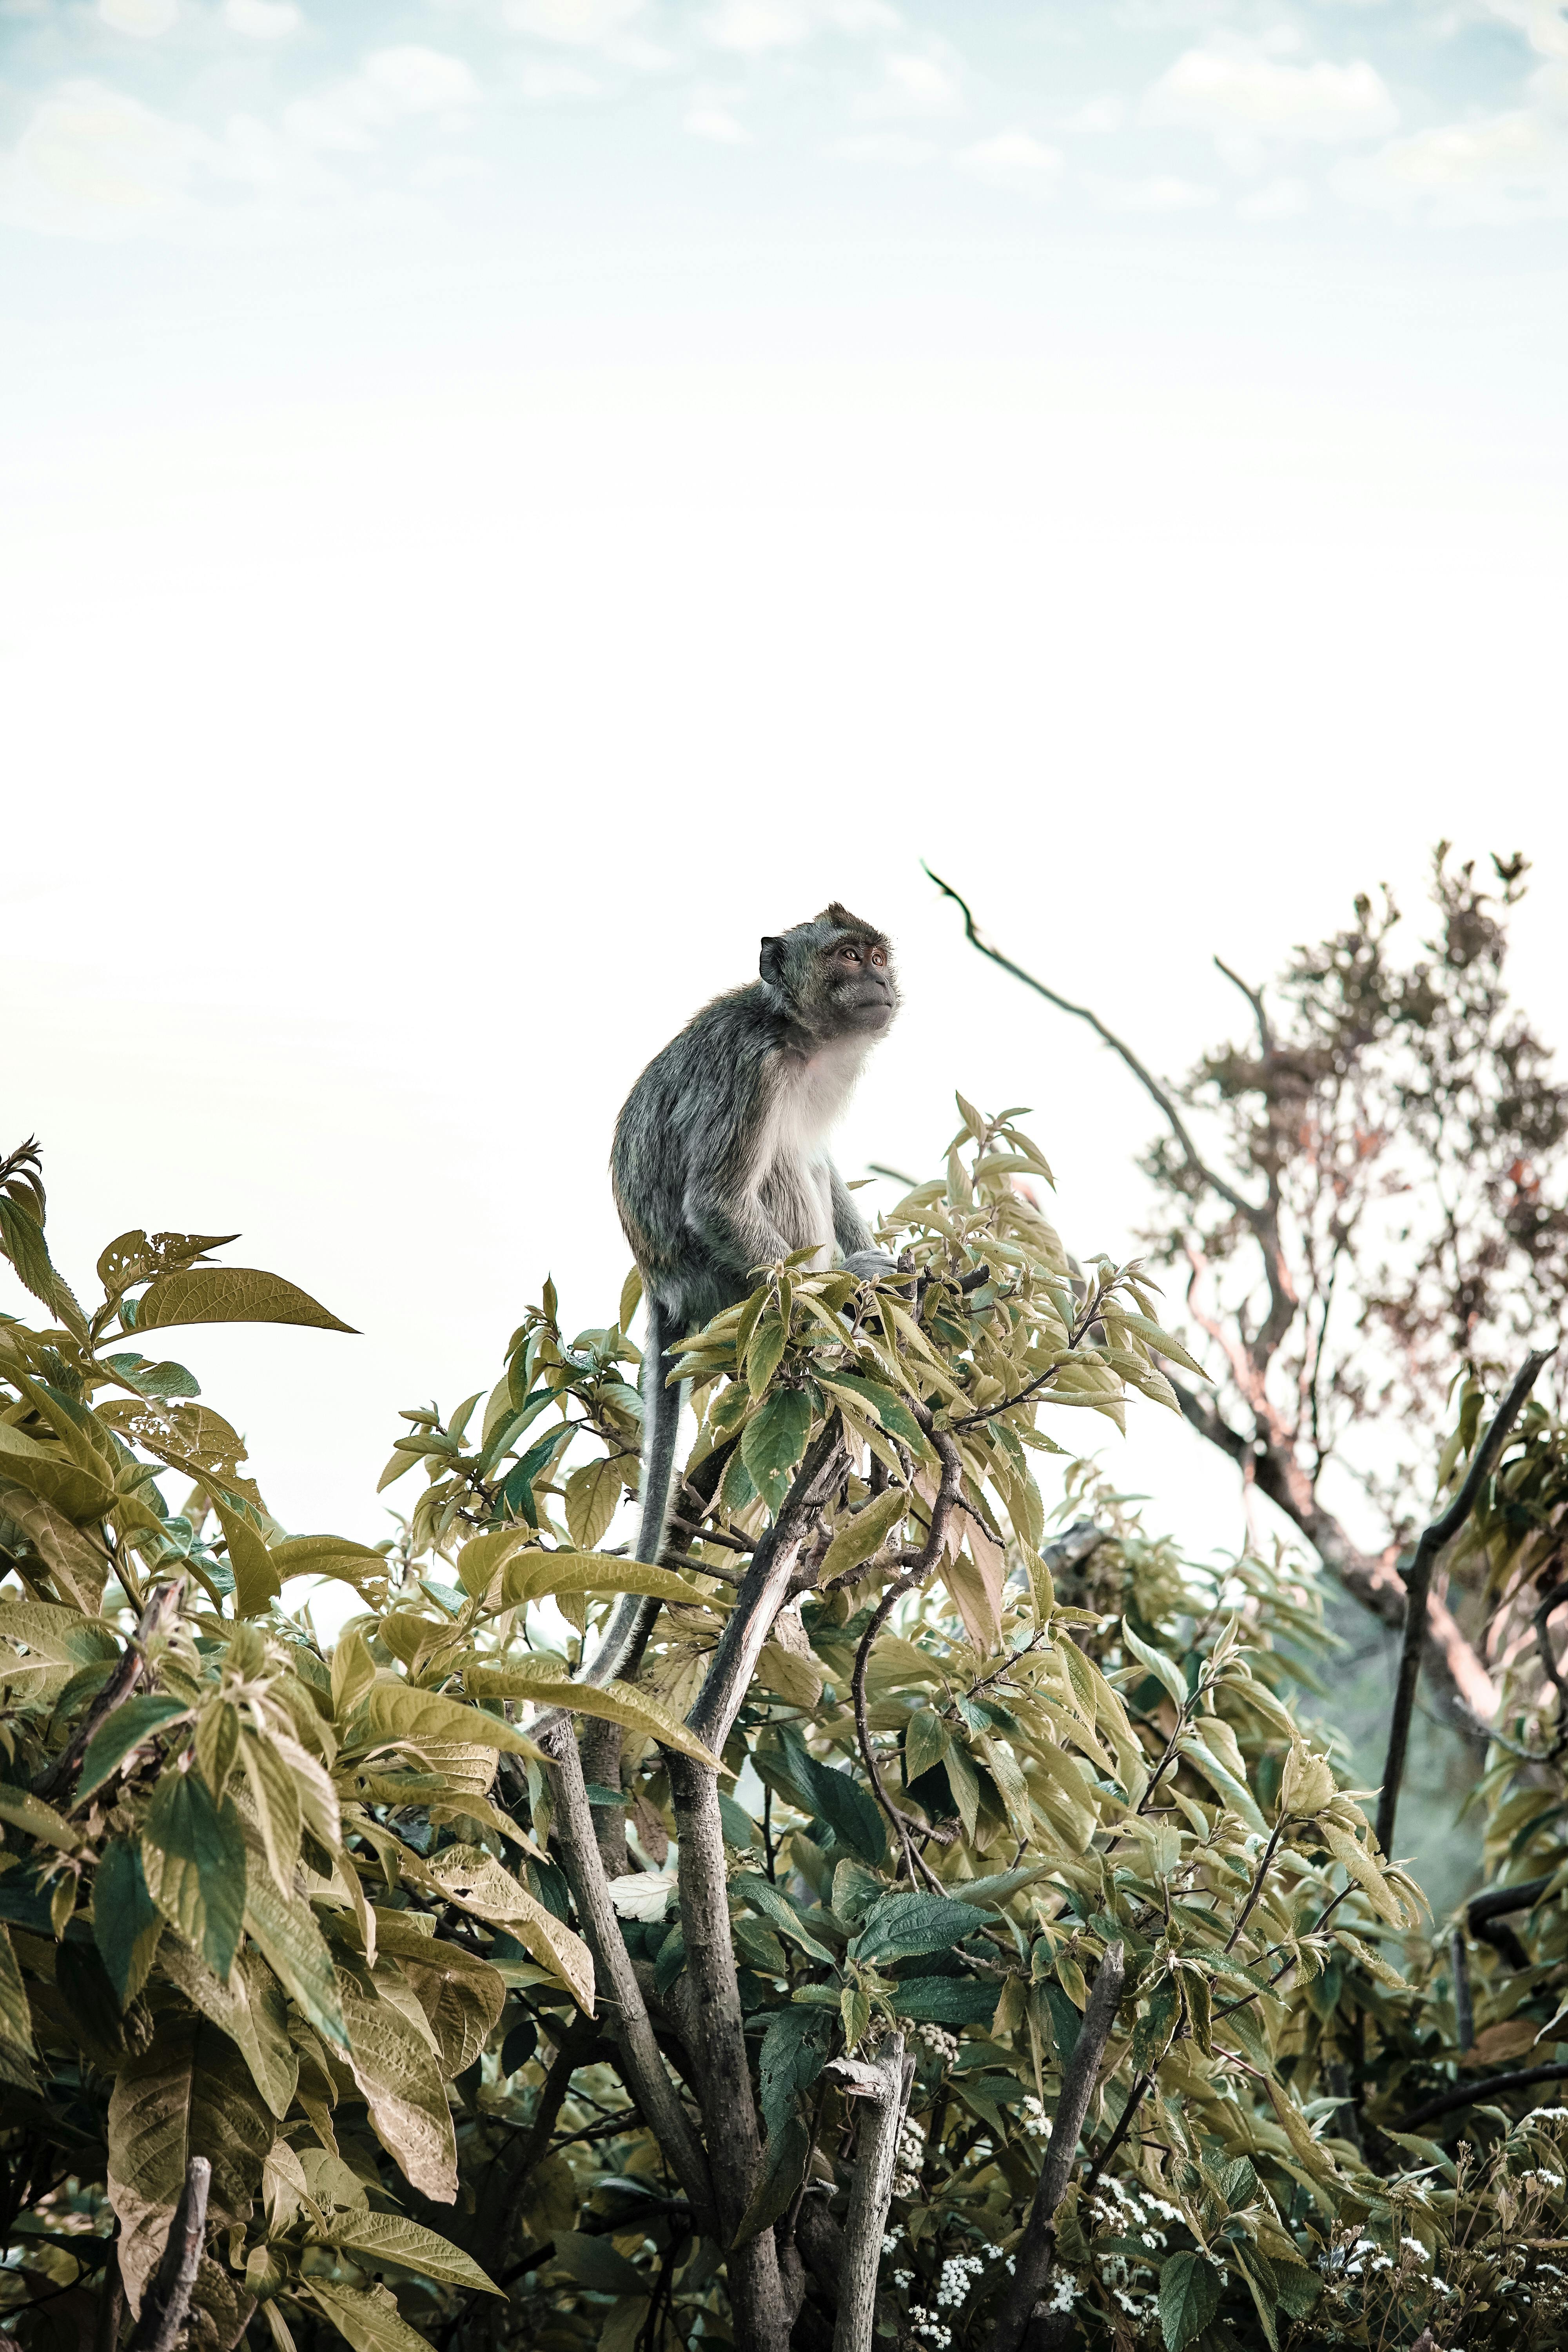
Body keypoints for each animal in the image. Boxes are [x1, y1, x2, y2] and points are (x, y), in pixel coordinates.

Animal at [579, 903, 900, 1693]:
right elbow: (720, 1201)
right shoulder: (755, 1072)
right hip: (720, 1284)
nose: (878, 979)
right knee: (777, 1169)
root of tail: (660, 1288)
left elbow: (823, 1160)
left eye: (877, 956)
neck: (797, 1034)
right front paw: (848, 1292)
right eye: (847, 956)